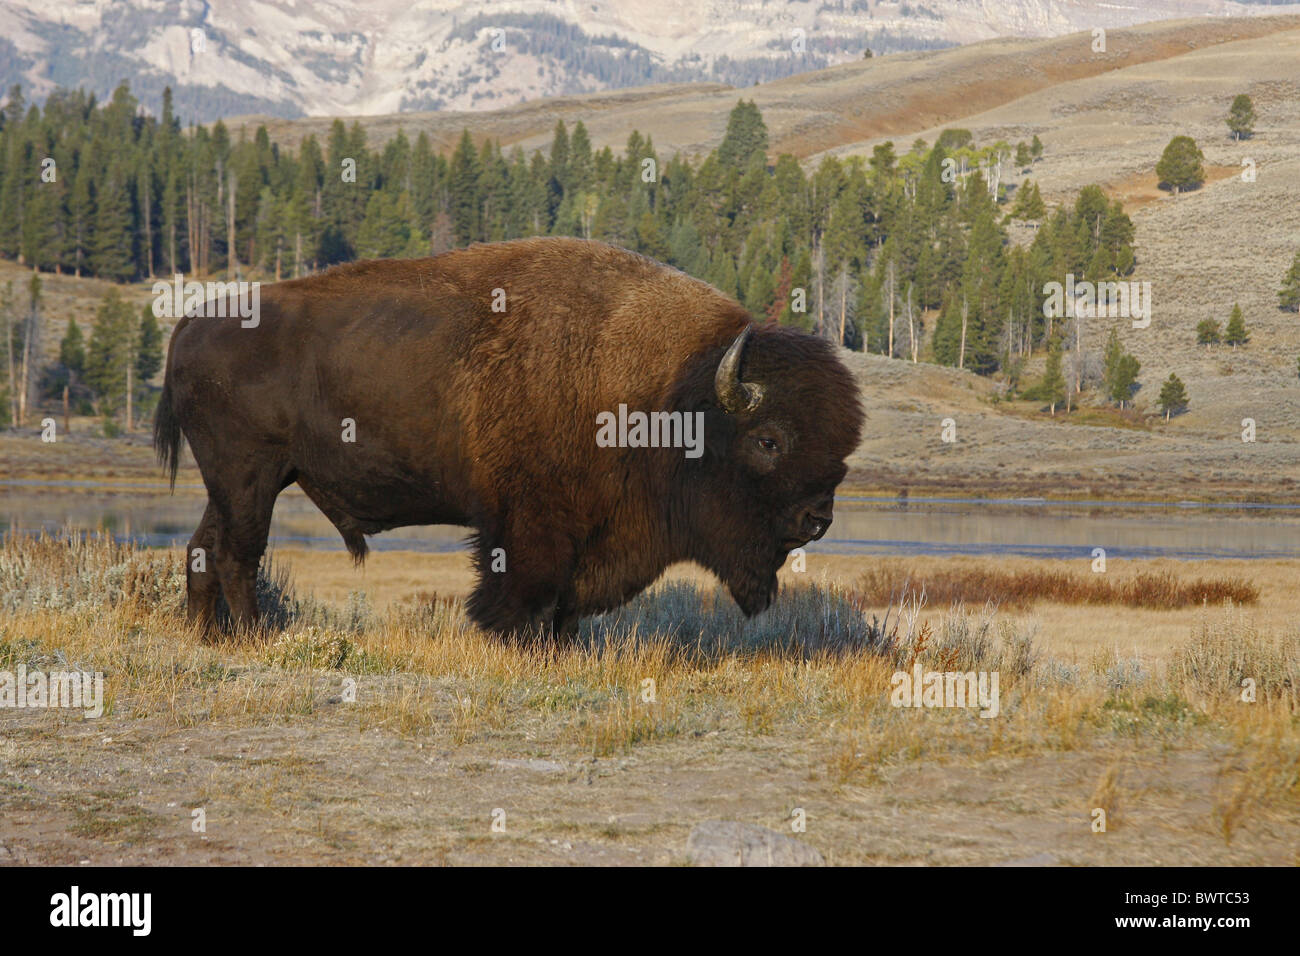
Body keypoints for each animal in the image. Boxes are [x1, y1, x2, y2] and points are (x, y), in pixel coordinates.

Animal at [154, 237, 863, 638]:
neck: (672, 394)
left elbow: (567, 605)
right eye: (769, 441)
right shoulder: (530, 525)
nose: (818, 518)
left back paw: (207, 638)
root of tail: (190, 324)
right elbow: (524, 591)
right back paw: (254, 638)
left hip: (239, 484)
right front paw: (510, 639)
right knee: (238, 555)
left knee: (202, 549)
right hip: (250, 478)